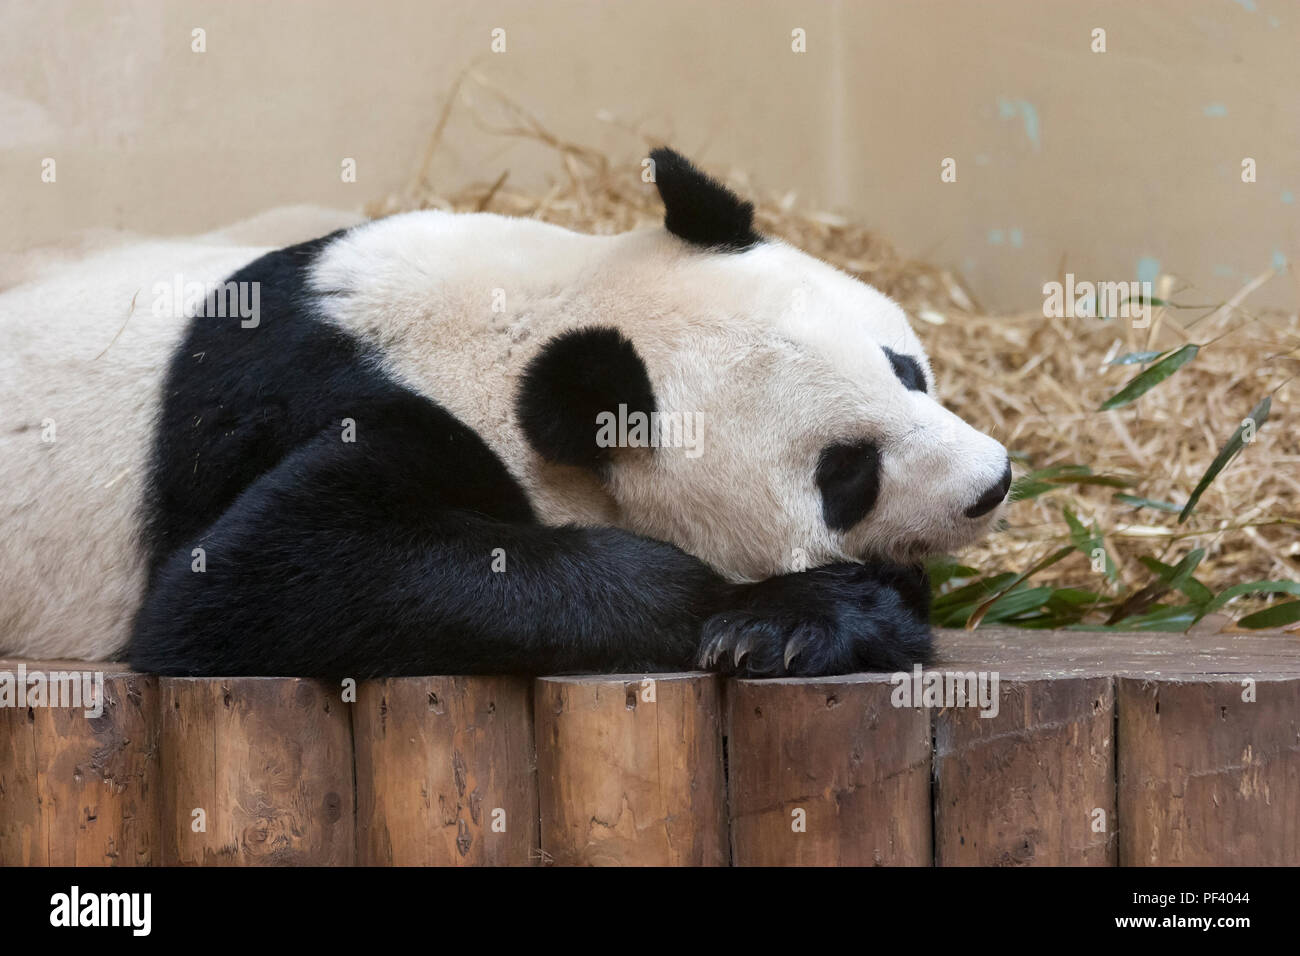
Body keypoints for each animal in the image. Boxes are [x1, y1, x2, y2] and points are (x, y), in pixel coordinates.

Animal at [0, 148, 1010, 678]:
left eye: (906, 369)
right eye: (847, 469)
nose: (992, 485)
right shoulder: (359, 404)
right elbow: (245, 584)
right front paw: (779, 618)